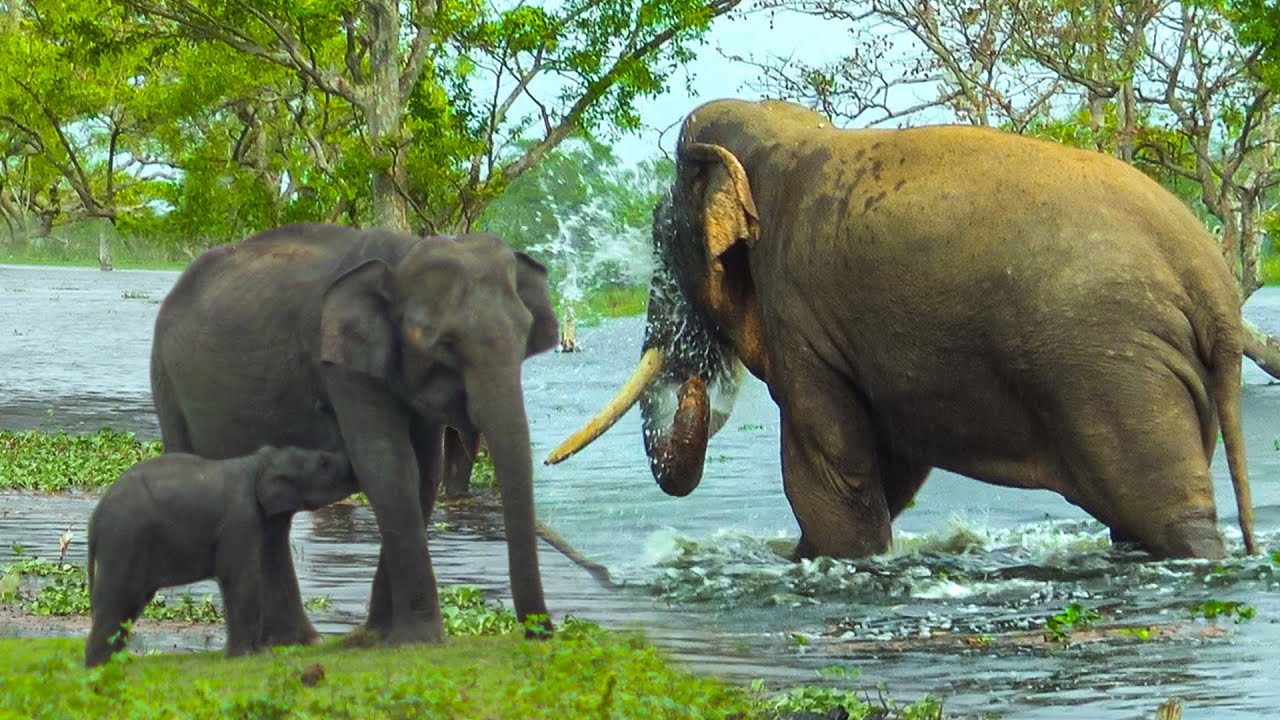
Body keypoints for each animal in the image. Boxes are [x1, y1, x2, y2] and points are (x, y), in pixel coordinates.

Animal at [85, 446, 354, 667]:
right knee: (115, 601)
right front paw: (246, 657)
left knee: (129, 604)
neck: (258, 463)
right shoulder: (240, 517)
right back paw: (98, 668)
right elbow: (240, 575)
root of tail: (95, 520)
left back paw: (113, 663)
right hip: (124, 540)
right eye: (324, 462)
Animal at [150, 223, 558, 648]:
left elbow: (424, 473)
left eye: (526, 332)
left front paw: (378, 636)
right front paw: (417, 640)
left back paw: (296, 642)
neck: (403, 256)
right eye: (445, 344)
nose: (543, 632)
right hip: (164, 376)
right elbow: (387, 465)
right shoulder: (341, 362)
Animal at [550, 98, 1257, 561]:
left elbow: (828, 471)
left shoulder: (799, 312)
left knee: (1162, 513)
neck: (785, 137)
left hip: (1111, 367)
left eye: (663, 235)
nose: (693, 387)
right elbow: (888, 466)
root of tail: (1216, 291)